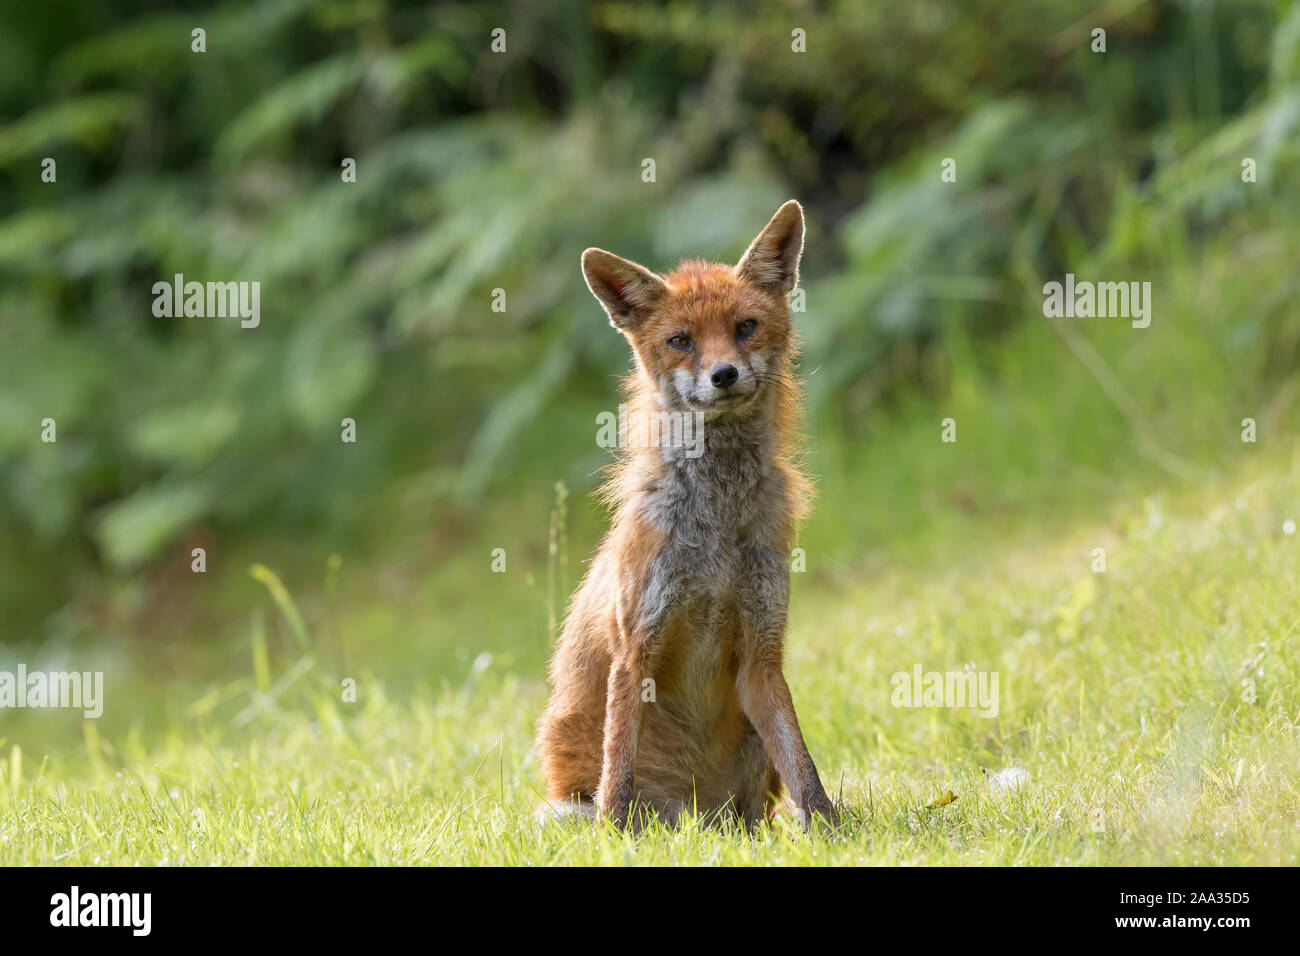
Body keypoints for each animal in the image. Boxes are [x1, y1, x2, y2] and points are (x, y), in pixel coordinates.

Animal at [535, 200, 838, 832]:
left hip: (747, 781)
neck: (718, 520)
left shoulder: (763, 653)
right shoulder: (635, 646)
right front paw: (616, 840)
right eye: (680, 340)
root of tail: (700, 815)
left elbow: (804, 769)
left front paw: (833, 833)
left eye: (745, 327)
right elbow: (618, 774)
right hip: (572, 794)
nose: (724, 374)